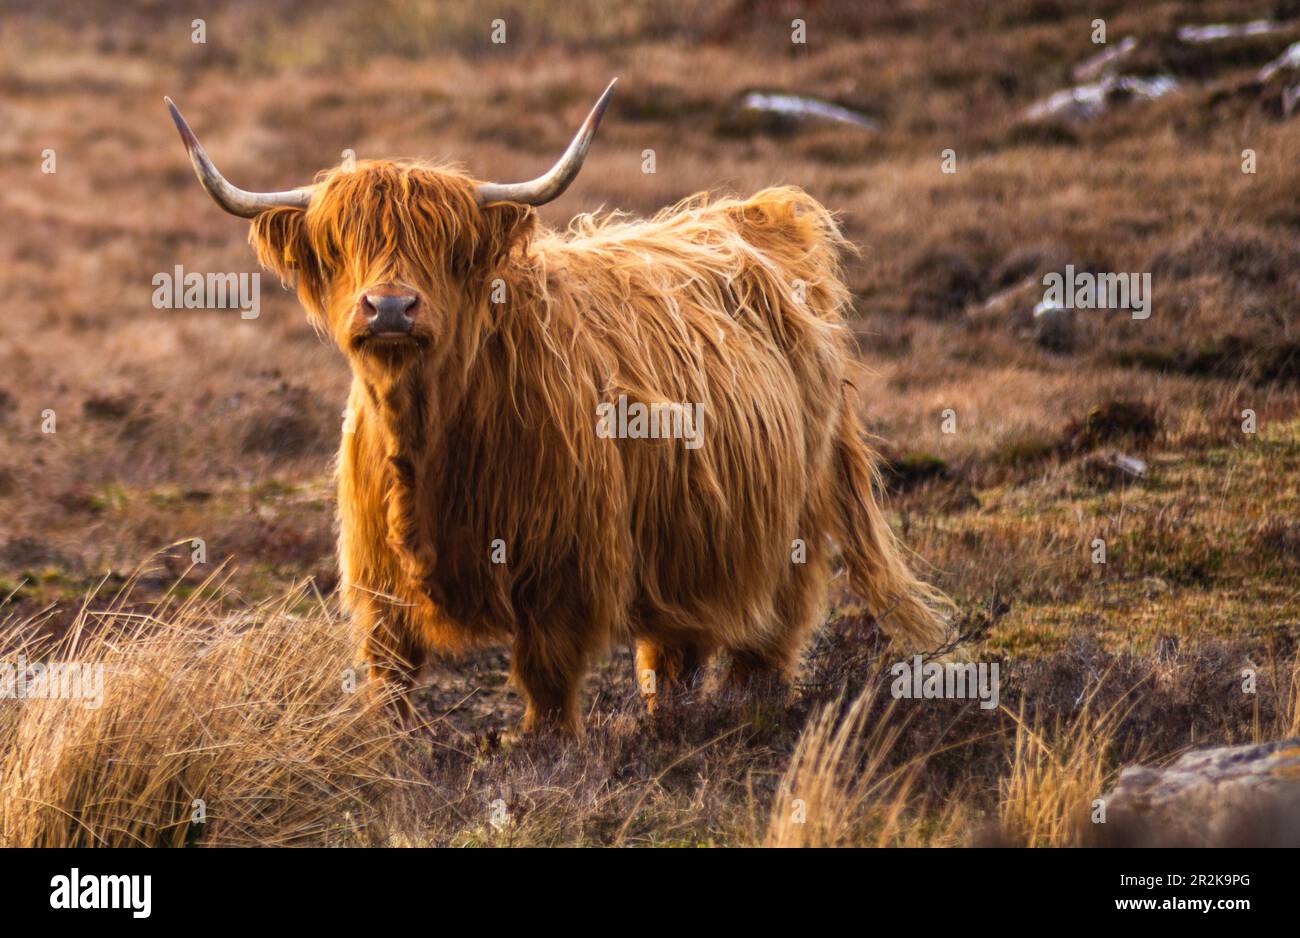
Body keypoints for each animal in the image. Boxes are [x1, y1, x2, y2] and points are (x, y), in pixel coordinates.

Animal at [166, 80, 951, 735]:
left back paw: (748, 713)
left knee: (768, 634)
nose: (389, 308)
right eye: (339, 244)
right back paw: (666, 720)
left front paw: (544, 746)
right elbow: (389, 671)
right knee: (676, 645)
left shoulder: (562, 564)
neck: (428, 430)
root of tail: (760, 214)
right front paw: (385, 747)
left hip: (791, 522)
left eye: (448, 248)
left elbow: (543, 670)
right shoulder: (376, 576)